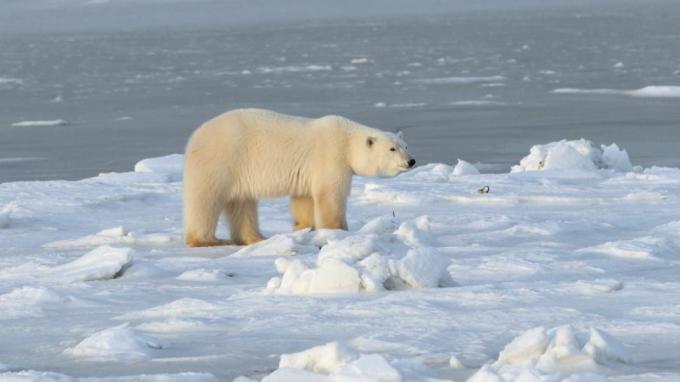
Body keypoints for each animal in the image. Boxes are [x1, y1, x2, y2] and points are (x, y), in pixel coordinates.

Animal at [183, 108, 414, 248]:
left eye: (406, 145)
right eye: (392, 149)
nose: (411, 161)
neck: (346, 140)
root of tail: (195, 137)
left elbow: (304, 200)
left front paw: (304, 227)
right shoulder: (331, 157)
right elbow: (330, 196)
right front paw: (338, 231)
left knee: (241, 203)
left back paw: (256, 237)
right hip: (221, 161)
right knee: (206, 201)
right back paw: (209, 241)